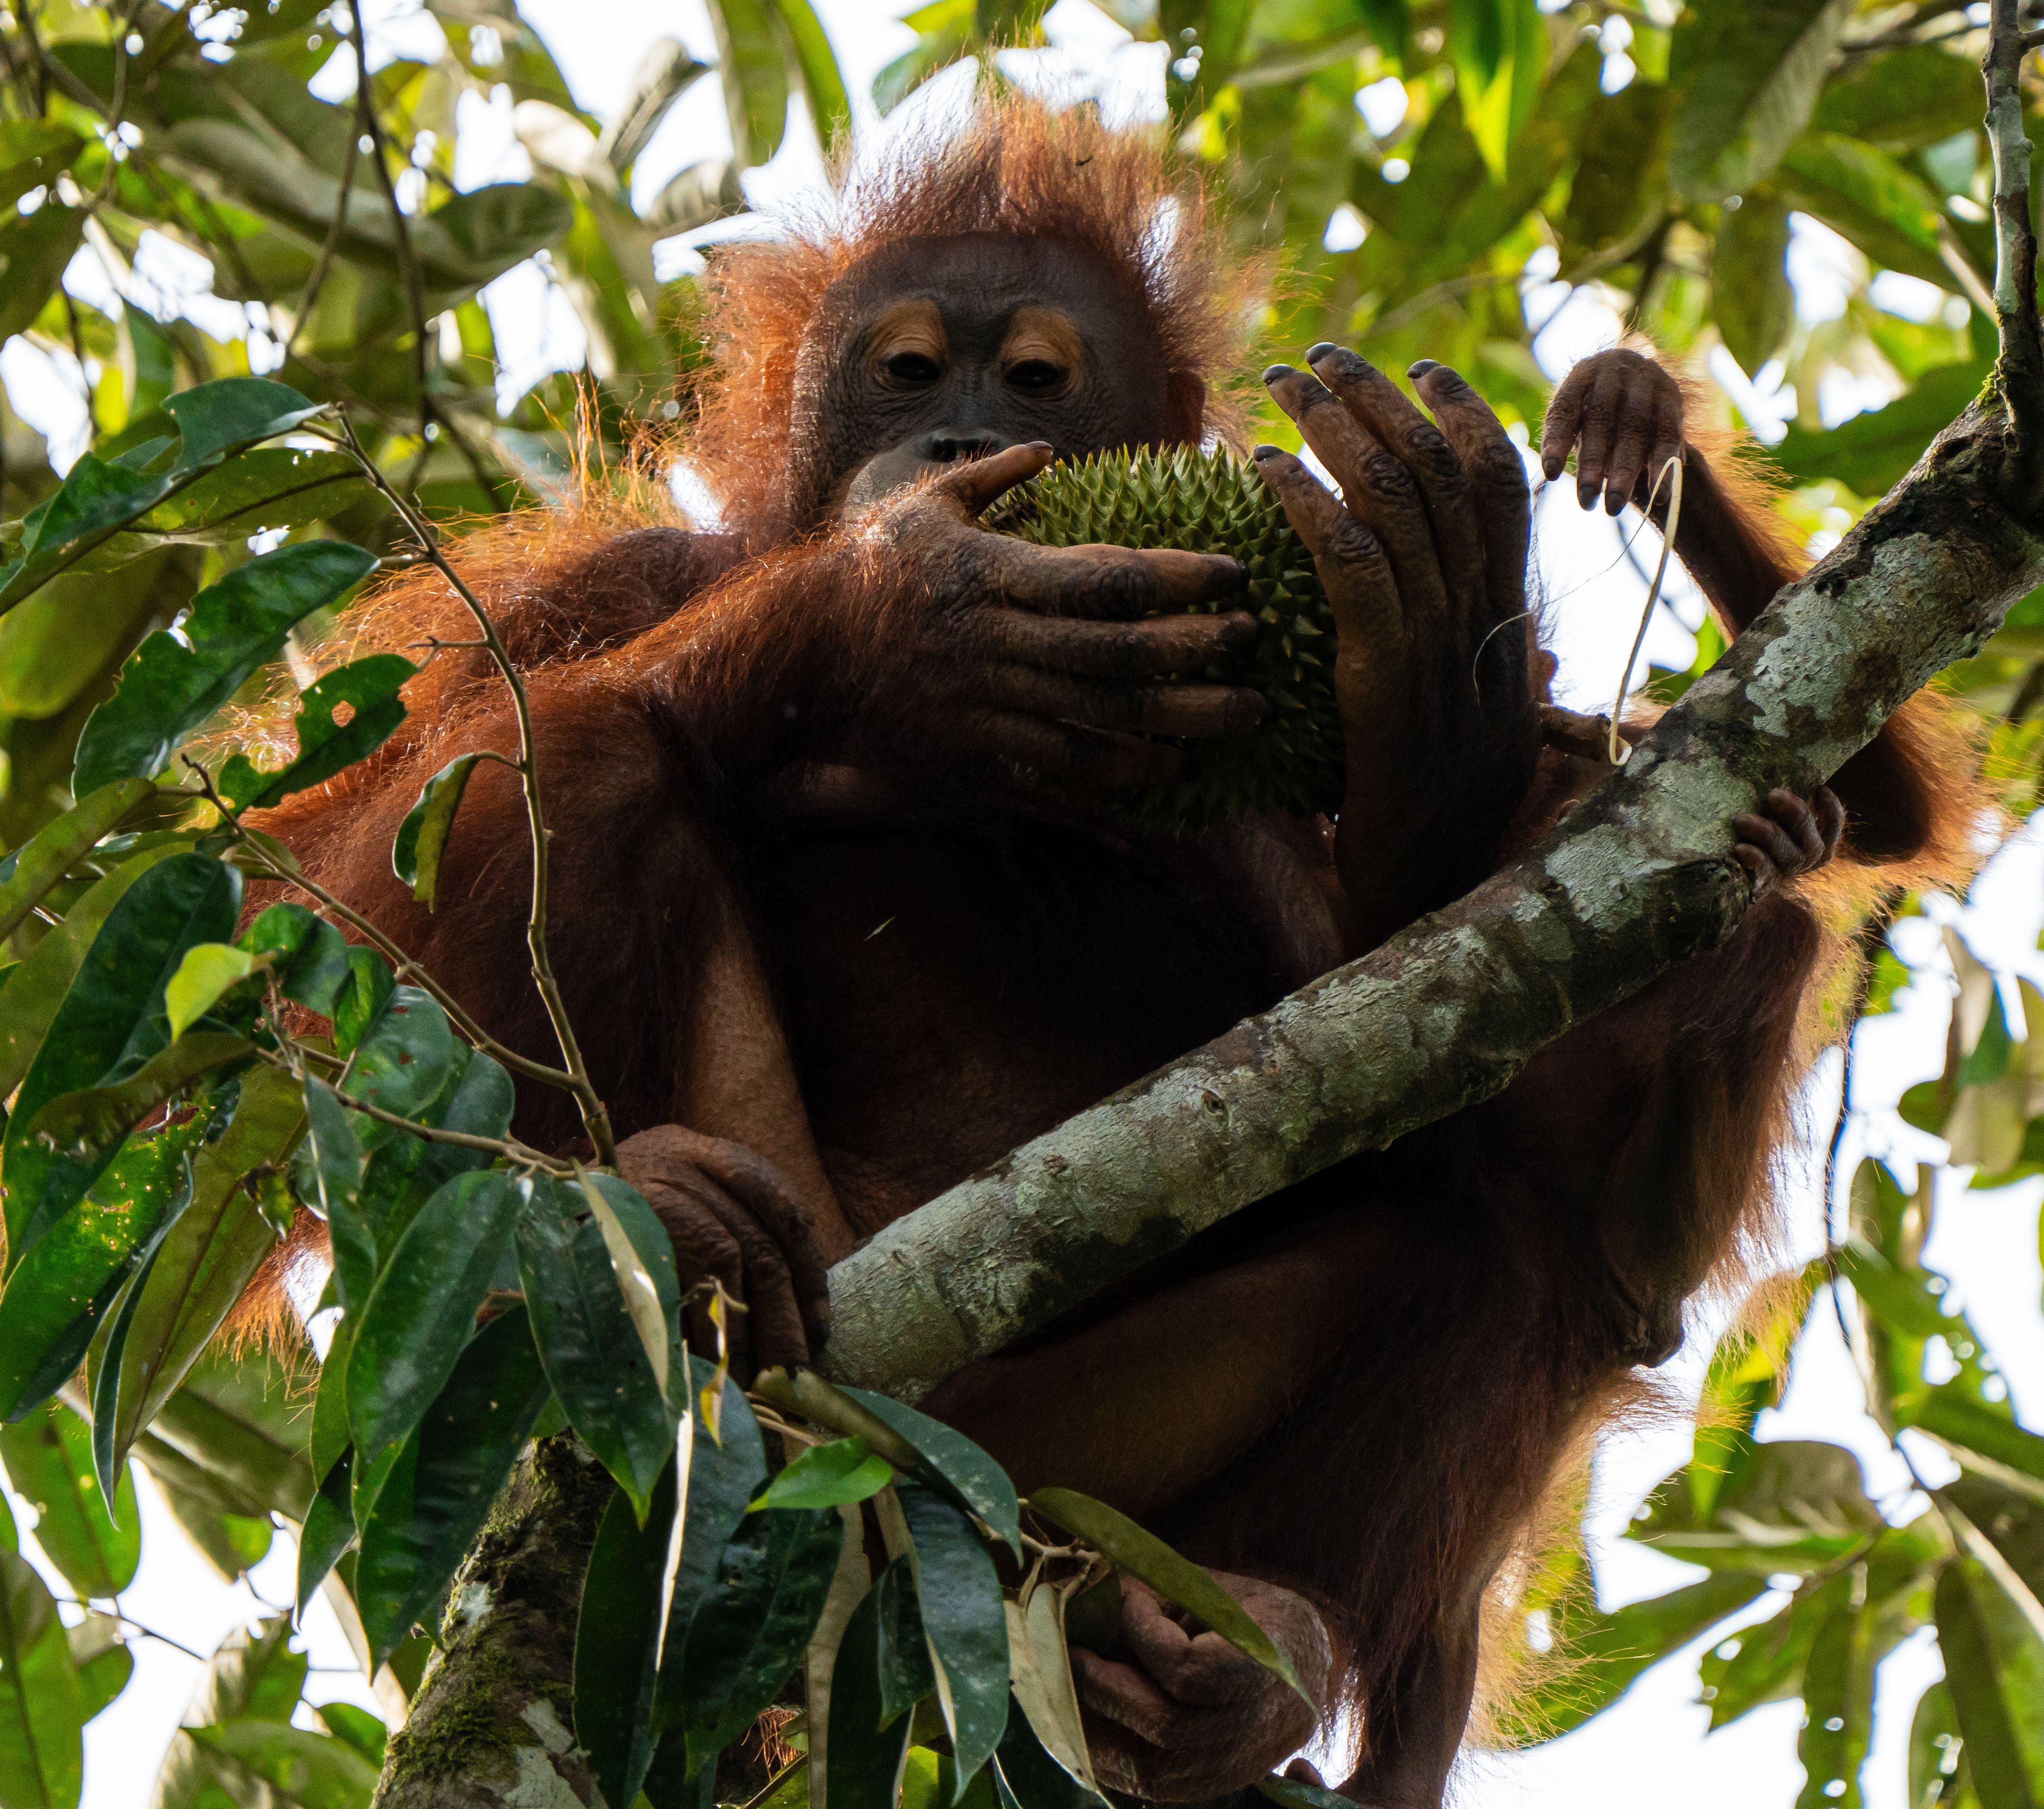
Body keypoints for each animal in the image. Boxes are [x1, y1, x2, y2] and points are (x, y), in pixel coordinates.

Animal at [249, 98, 1974, 1807]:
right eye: (902, 371)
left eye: (1031, 380)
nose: (953, 446)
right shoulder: (617, 584)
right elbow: (322, 895)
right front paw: (901, 613)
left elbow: (1397, 988)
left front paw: (1455, 651)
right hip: (855, 1377)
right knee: (584, 754)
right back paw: (669, 1220)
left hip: (1057, 1474)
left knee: (1489, 1231)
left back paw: (1263, 1658)